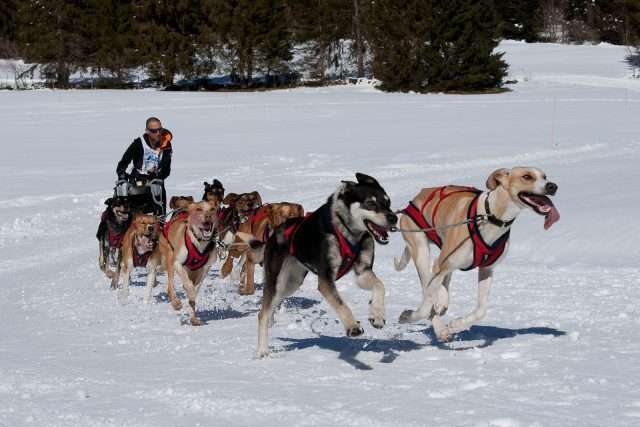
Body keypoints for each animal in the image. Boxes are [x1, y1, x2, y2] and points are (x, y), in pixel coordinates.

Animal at [254, 173, 396, 358]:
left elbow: (380, 286)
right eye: (370, 203)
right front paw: (352, 325)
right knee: (262, 313)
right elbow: (341, 304)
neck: (348, 232)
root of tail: (274, 234)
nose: (394, 218)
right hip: (277, 281)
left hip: (292, 283)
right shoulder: (326, 280)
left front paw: (377, 315)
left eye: (388, 202)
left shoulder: (362, 272)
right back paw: (262, 350)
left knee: (271, 306)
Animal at [396, 167, 560, 342]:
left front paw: (457, 324)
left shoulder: (486, 269)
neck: (491, 216)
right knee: (428, 284)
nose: (552, 186)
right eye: (527, 176)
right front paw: (408, 316)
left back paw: (443, 302)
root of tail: (415, 199)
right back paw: (439, 326)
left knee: (443, 282)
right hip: (421, 251)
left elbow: (481, 310)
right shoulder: (442, 266)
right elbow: (426, 306)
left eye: (544, 176)